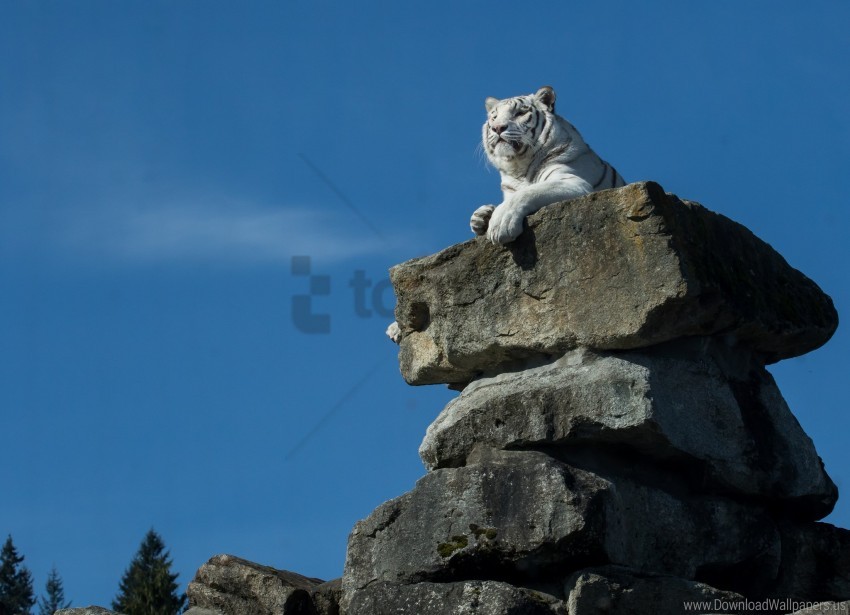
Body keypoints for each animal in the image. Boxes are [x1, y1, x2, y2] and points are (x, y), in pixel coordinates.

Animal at [471, 85, 625, 245]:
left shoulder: (575, 183)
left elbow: (528, 192)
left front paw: (500, 223)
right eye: (494, 117)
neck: (519, 167)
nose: (497, 127)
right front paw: (481, 216)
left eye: (520, 113)